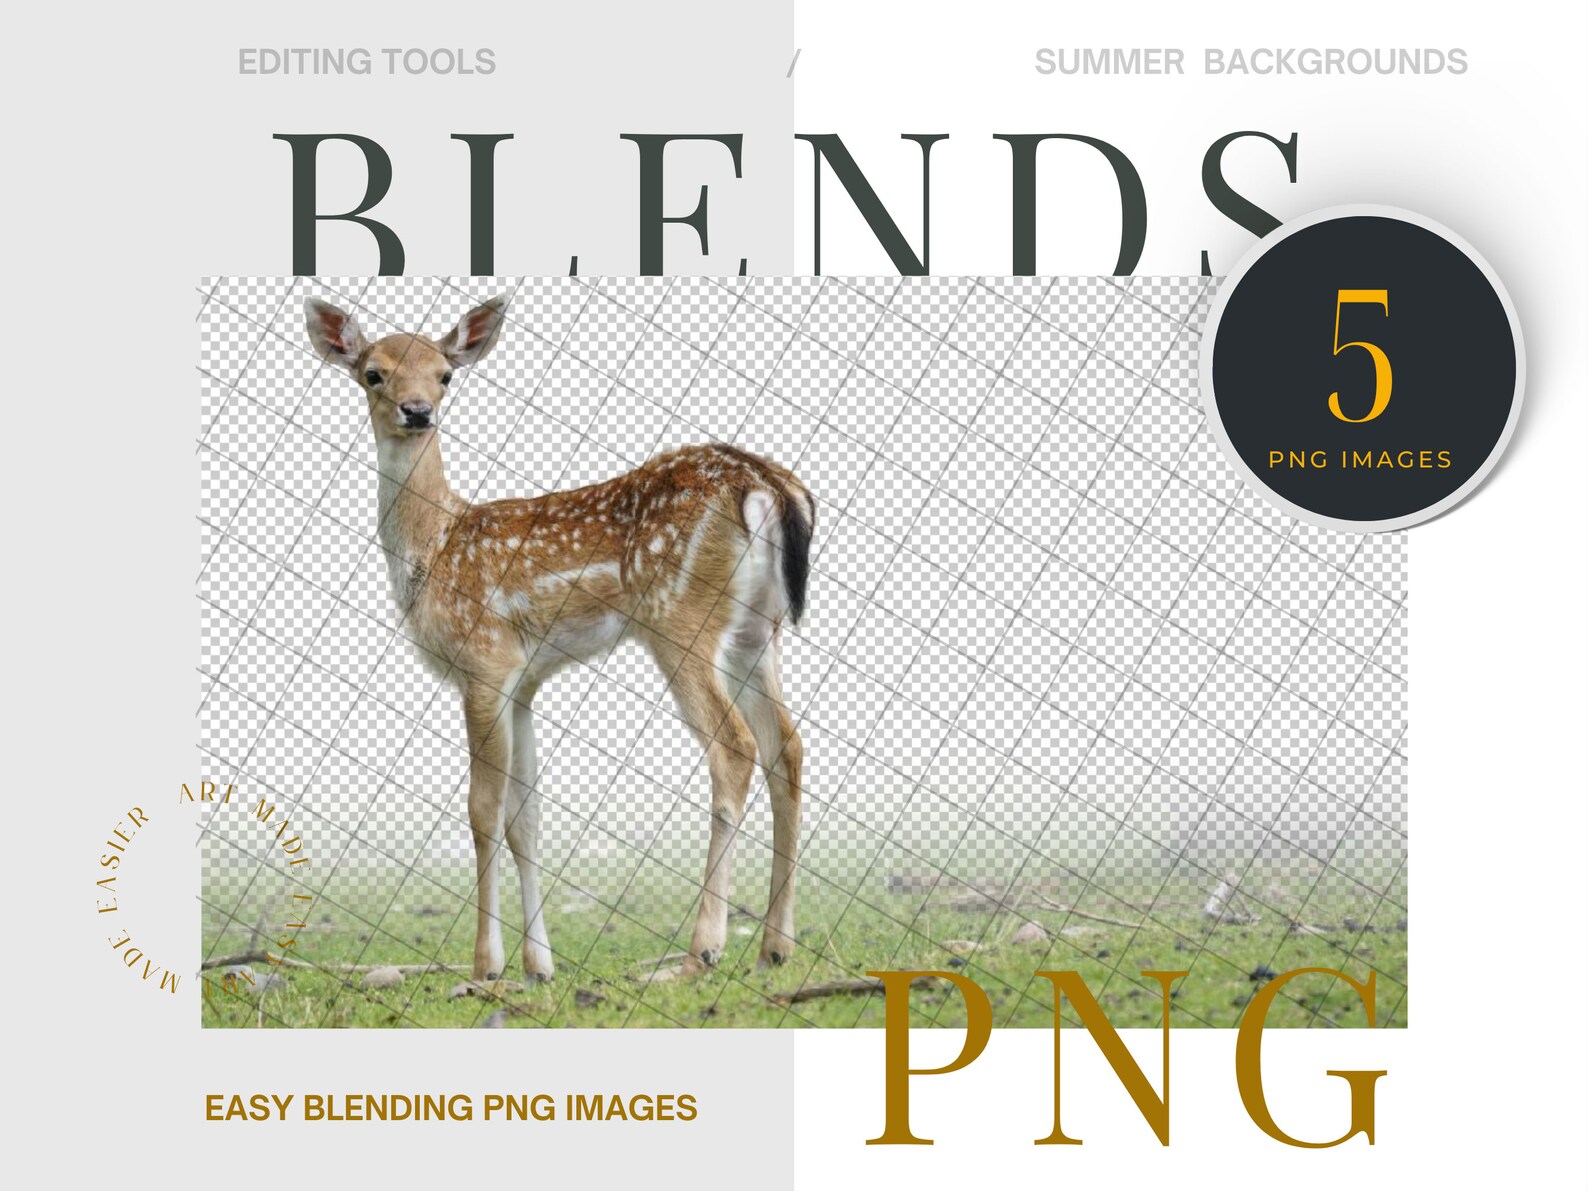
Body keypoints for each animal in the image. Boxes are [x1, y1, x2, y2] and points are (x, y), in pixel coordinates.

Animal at [305, 294, 812, 984]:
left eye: (445, 375)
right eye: (373, 373)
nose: (418, 411)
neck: (434, 548)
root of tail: (768, 486)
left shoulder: (484, 662)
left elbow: (482, 810)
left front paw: (486, 964)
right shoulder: (524, 681)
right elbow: (527, 817)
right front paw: (539, 965)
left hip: (678, 618)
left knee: (733, 747)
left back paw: (700, 950)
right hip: (758, 630)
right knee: (786, 745)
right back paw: (774, 947)